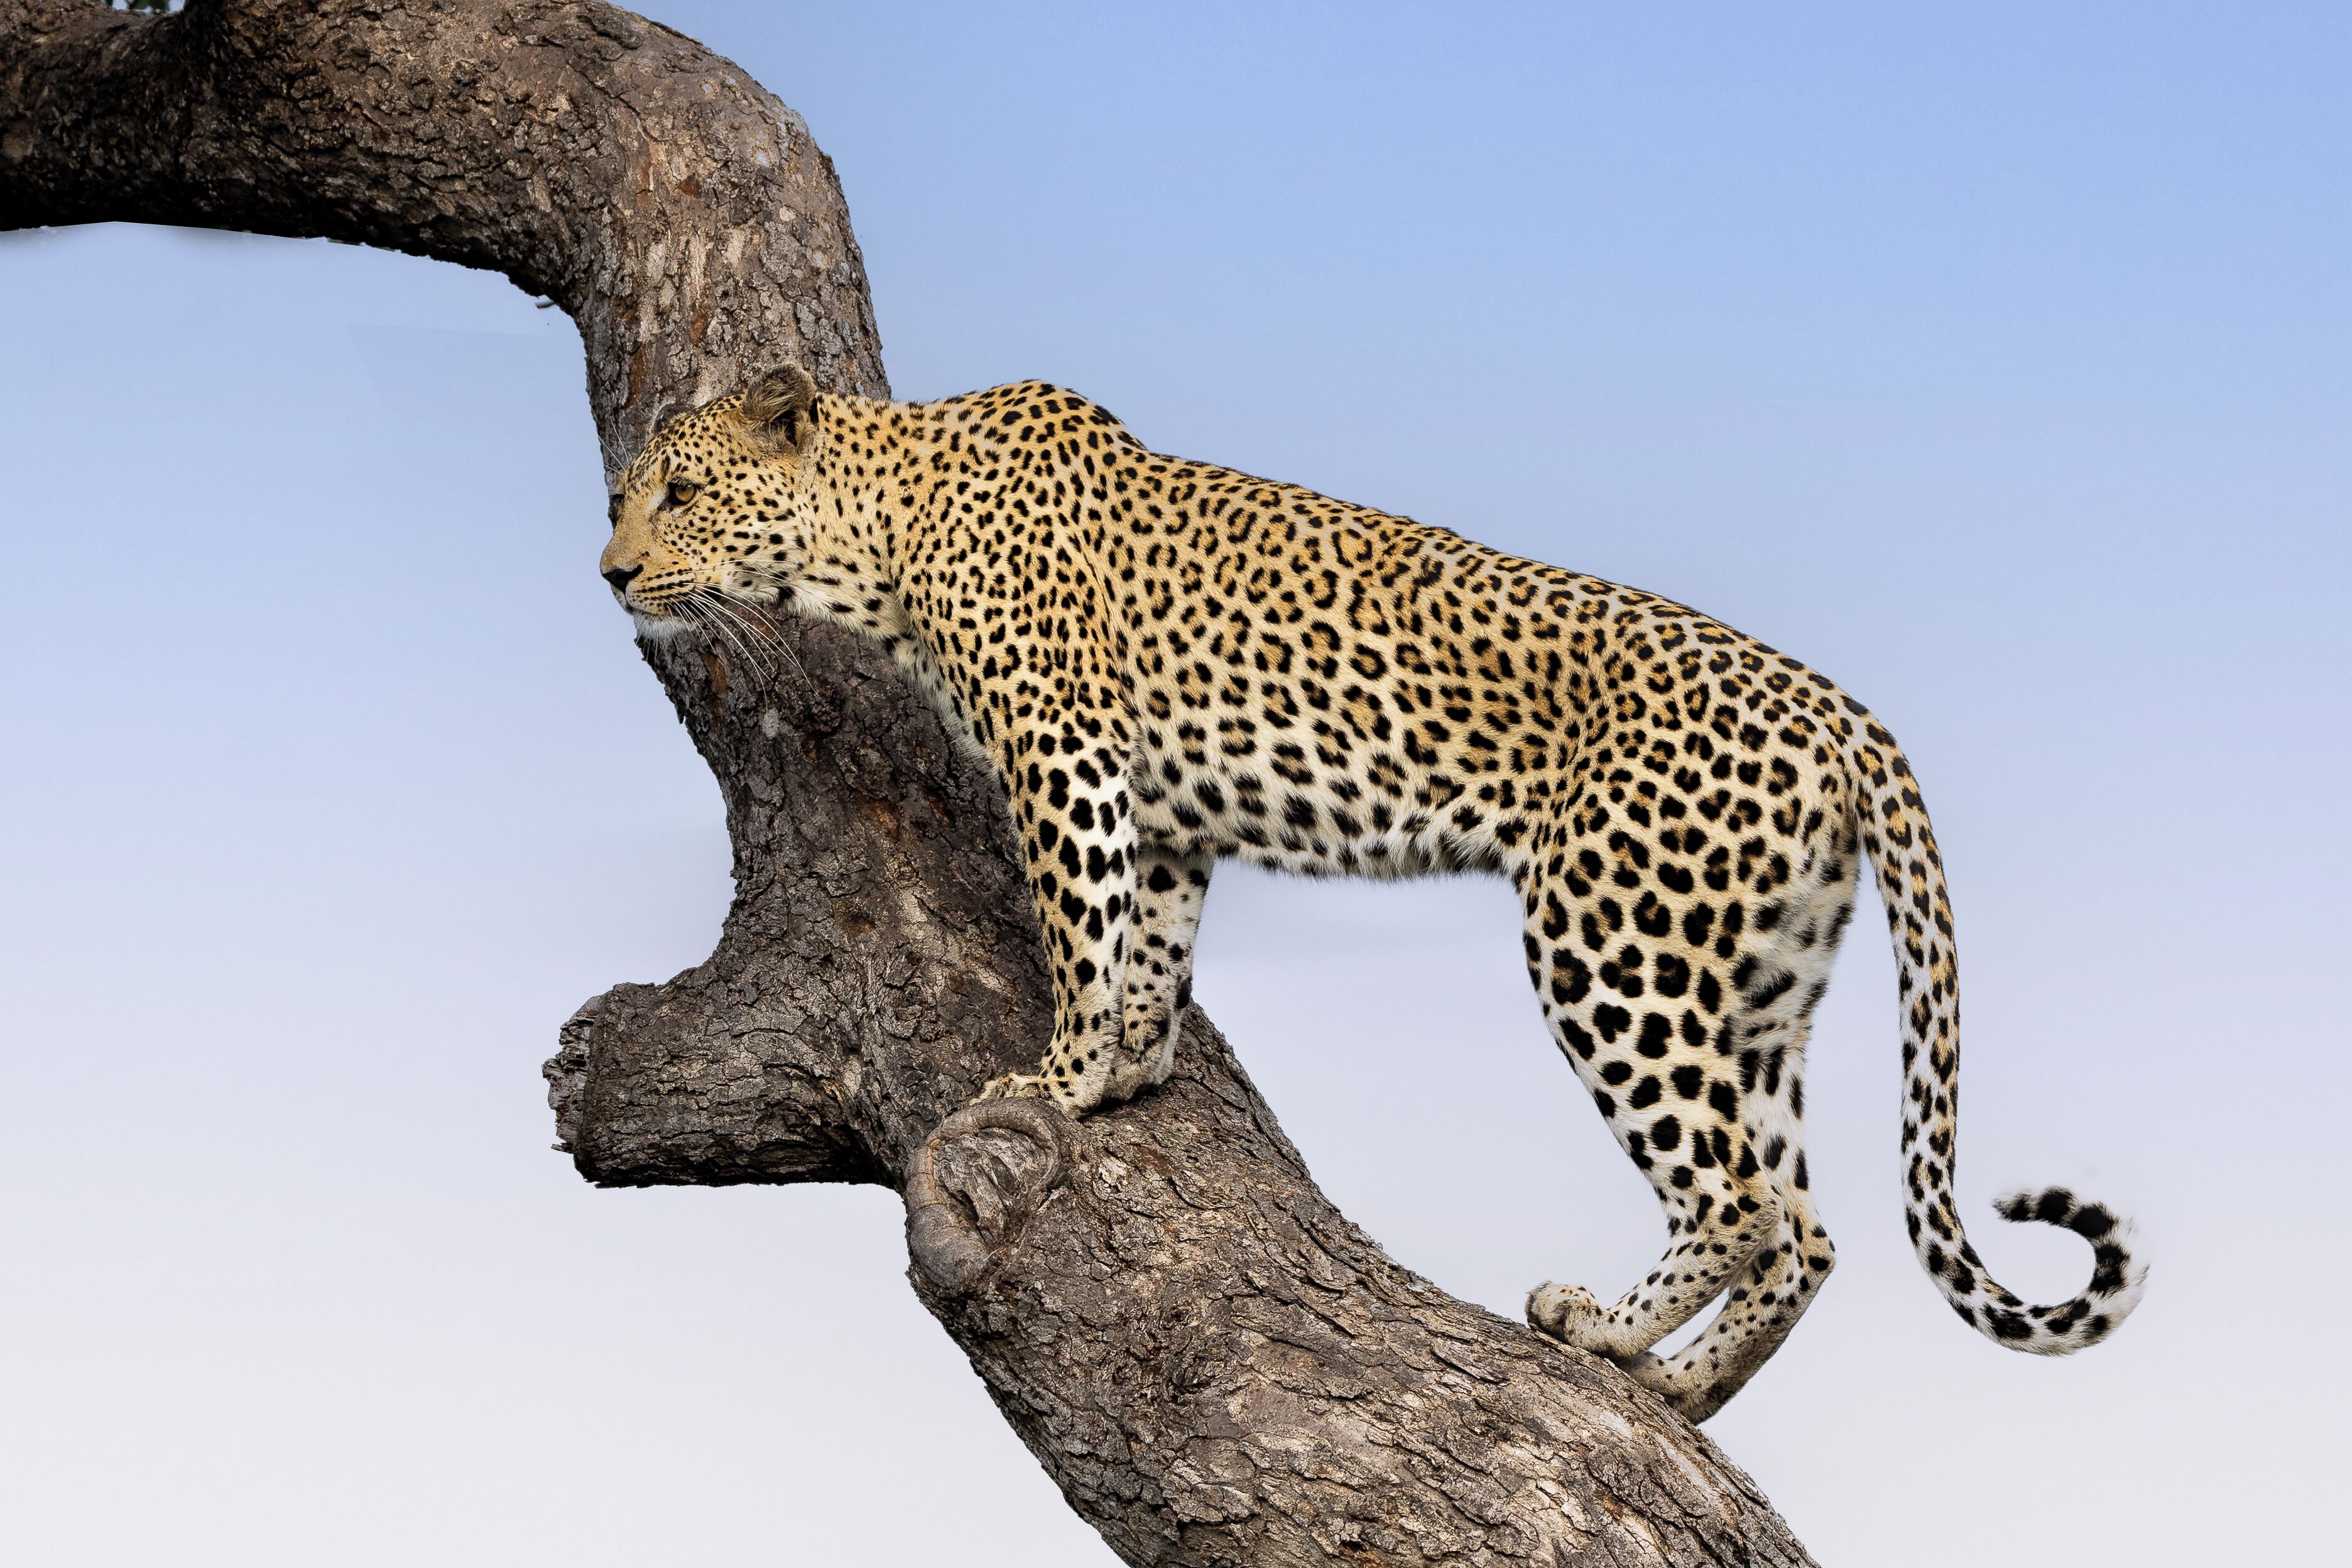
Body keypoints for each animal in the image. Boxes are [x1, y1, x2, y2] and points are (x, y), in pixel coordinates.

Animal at [596, 364, 2146, 1421]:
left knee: (1735, 1200)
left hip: (1607, 939)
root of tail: (1840, 709)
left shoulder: (1065, 749)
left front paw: (1056, 1079)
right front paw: (1132, 1067)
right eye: (626, 495)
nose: (609, 571)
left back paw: (1597, 1326)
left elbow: (1081, 926)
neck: (876, 540)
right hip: (1754, 979)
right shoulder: (1161, 804)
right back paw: (1676, 1386)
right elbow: (1151, 938)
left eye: (679, 492)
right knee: (1805, 1226)